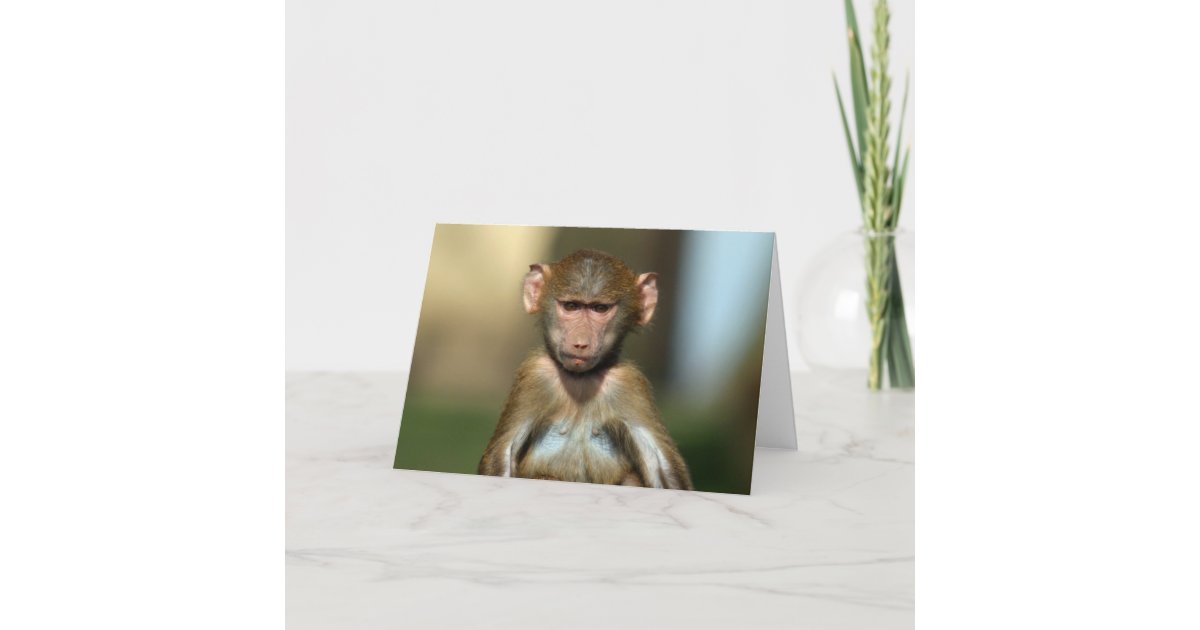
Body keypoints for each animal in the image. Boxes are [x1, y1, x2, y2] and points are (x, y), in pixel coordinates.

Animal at [477, 249, 693, 490]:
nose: (581, 343)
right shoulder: (535, 375)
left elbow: (662, 469)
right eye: (571, 306)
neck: (580, 379)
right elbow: (503, 456)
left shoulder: (630, 383)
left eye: (600, 308)